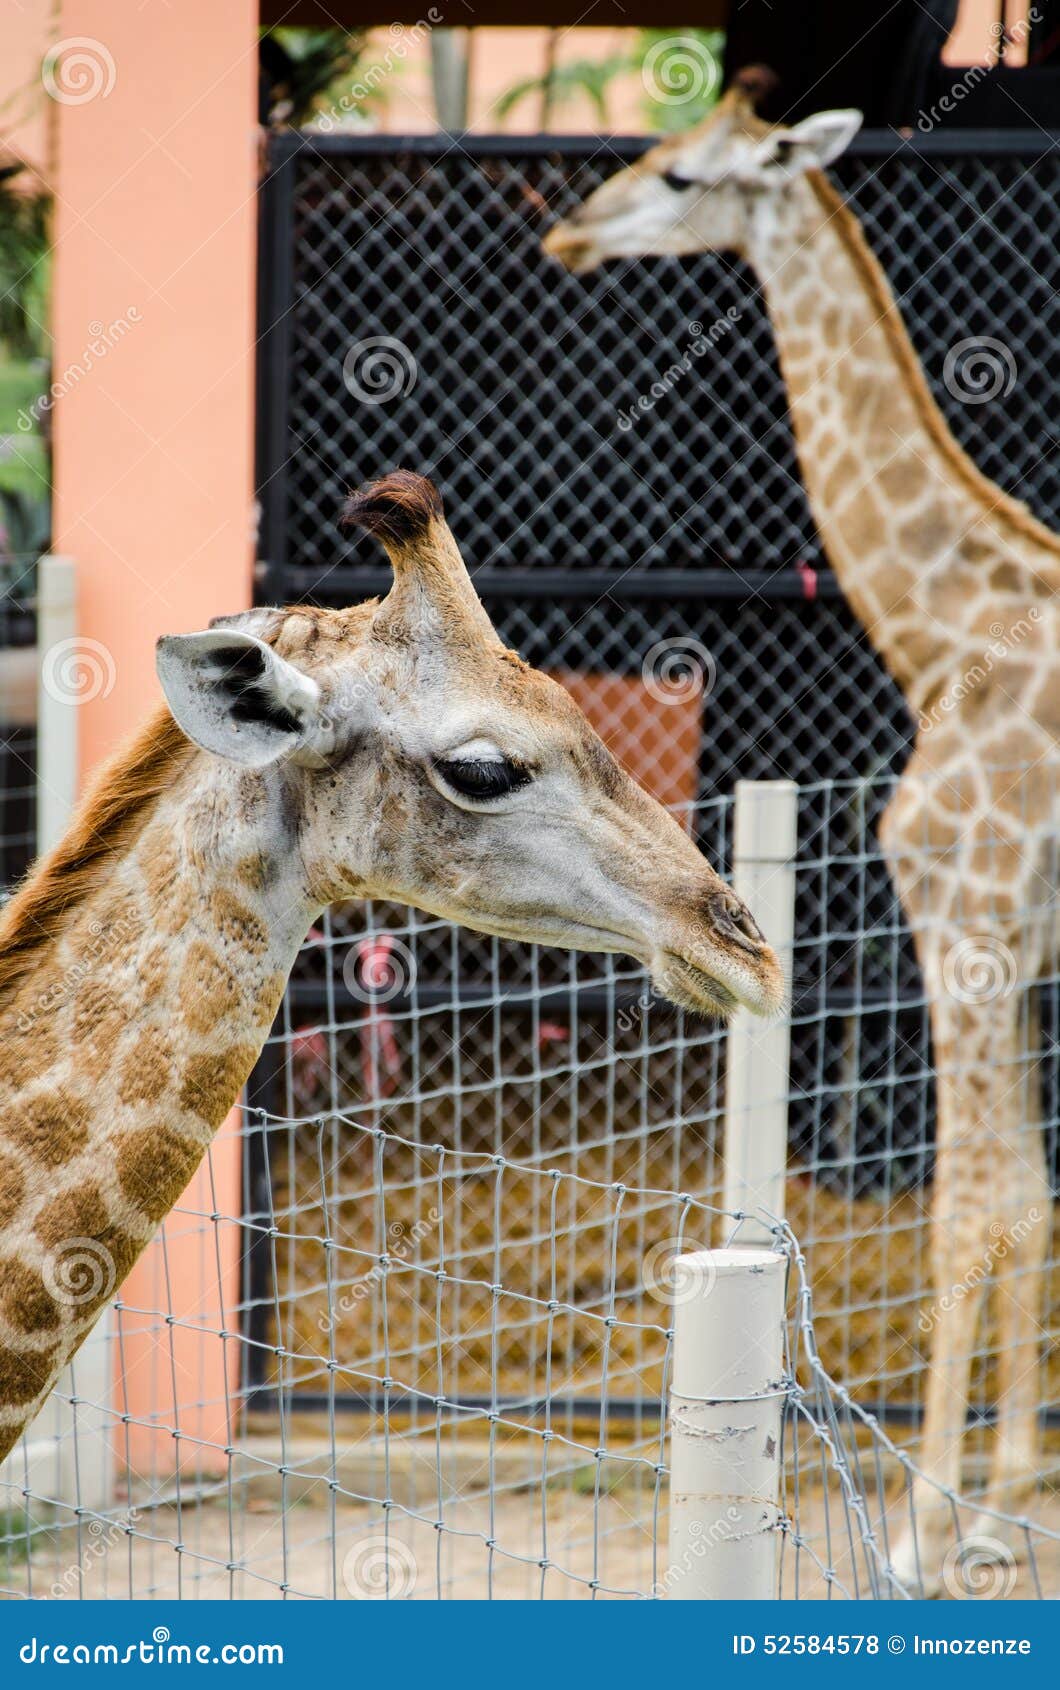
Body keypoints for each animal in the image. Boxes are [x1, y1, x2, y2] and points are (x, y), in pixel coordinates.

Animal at [544, 79, 1060, 1592]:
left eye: (681, 173)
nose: (568, 234)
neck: (948, 632)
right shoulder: (1014, 943)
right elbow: (1029, 1203)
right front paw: (1004, 1505)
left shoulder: (967, 922)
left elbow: (967, 1213)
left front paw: (923, 1530)